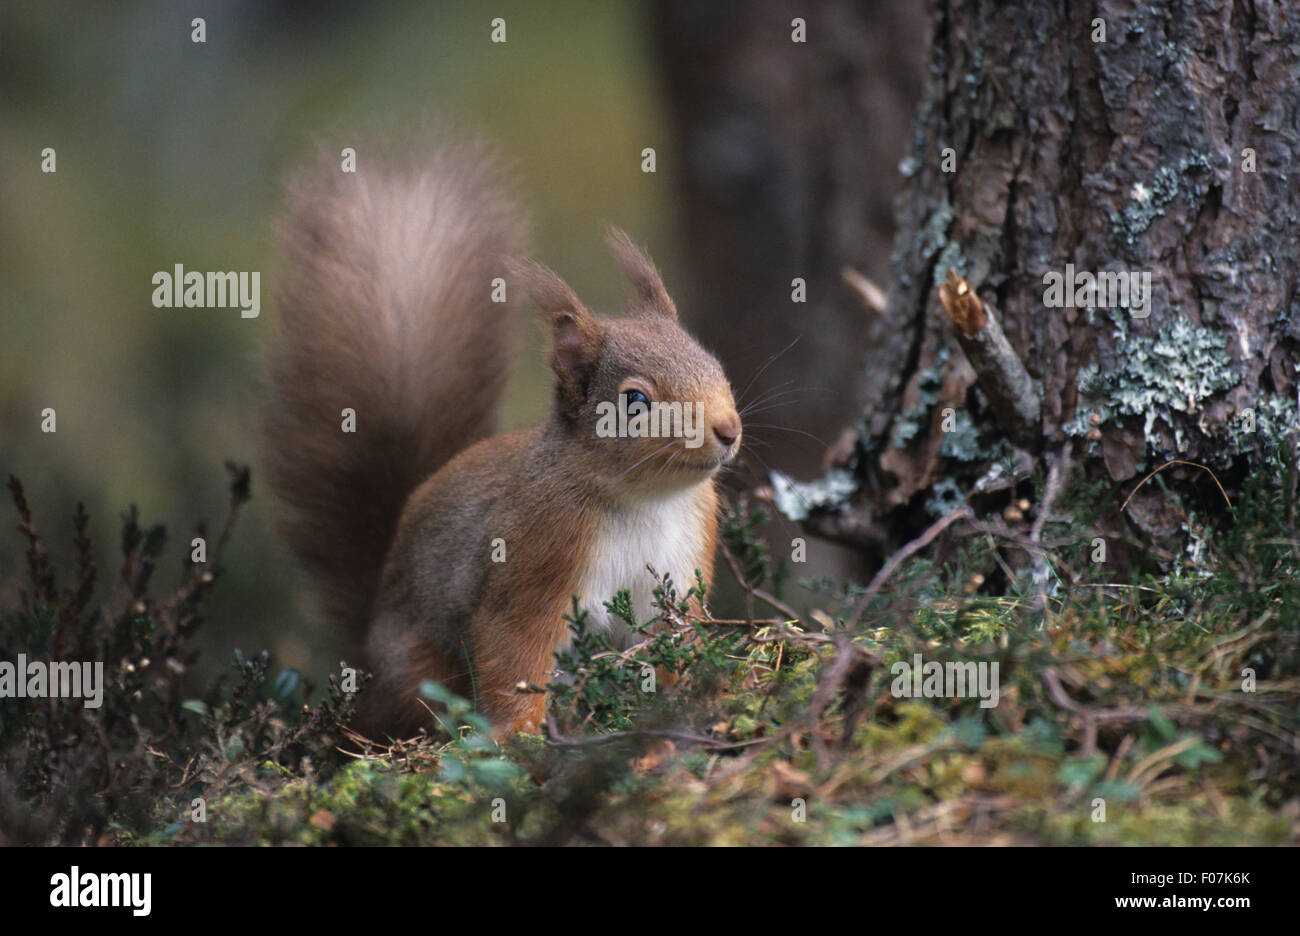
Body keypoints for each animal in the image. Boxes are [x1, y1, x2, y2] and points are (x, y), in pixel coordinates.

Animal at [263, 138, 742, 738]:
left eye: (715, 365)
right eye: (635, 402)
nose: (728, 429)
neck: (645, 500)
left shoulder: (680, 574)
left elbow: (675, 646)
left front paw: (701, 698)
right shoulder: (536, 561)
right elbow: (515, 650)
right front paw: (520, 737)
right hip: (419, 670)